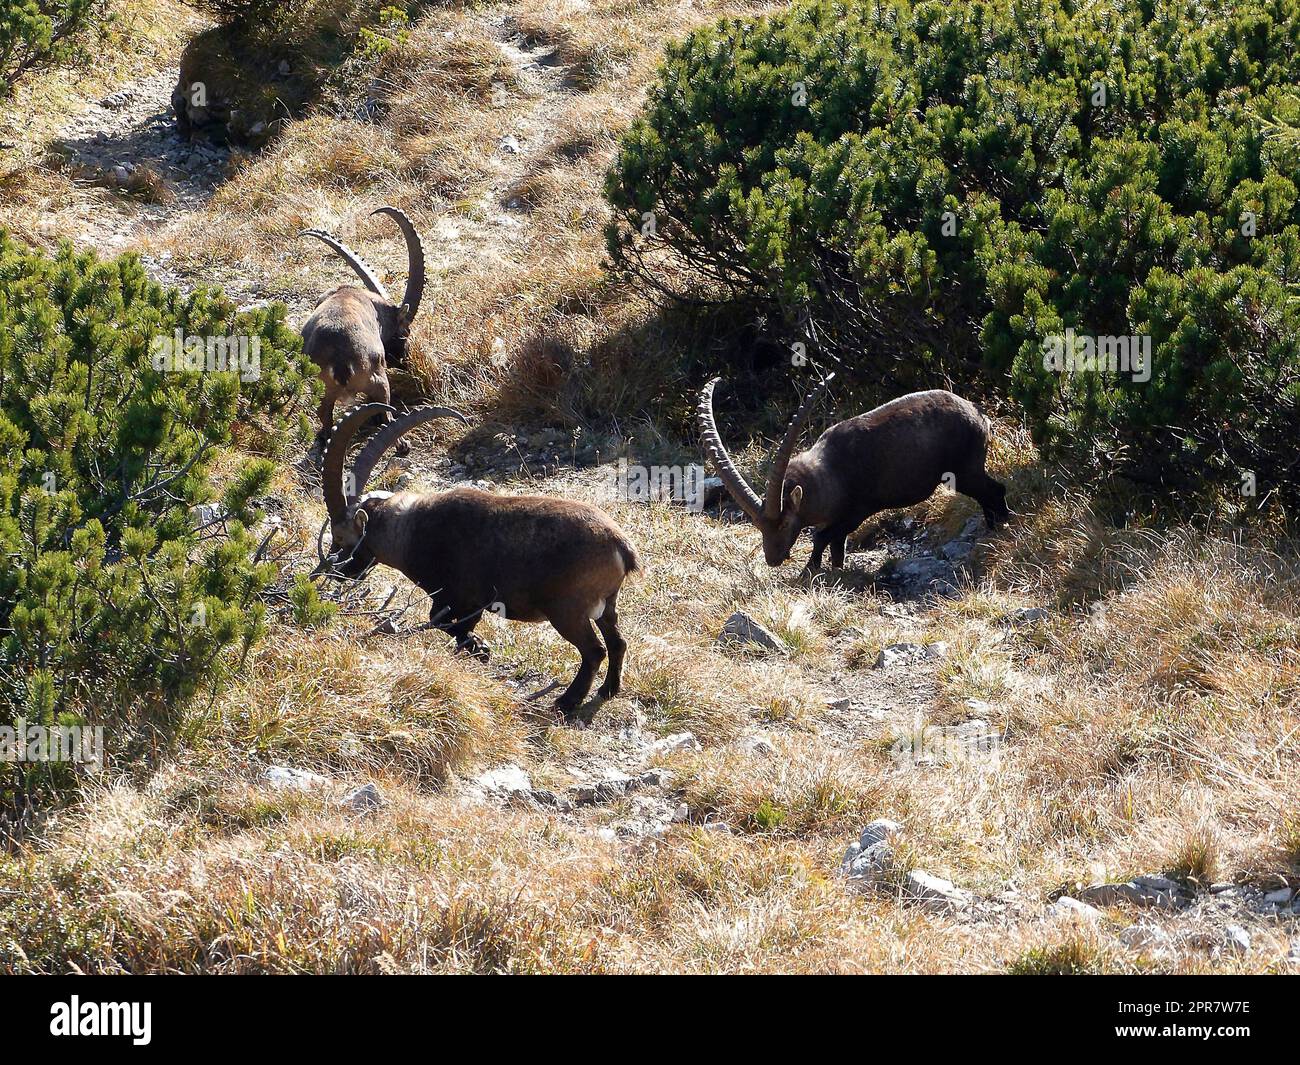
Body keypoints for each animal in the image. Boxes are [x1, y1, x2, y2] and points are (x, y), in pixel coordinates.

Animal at [300, 207, 427, 452]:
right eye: (404, 332)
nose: (406, 362)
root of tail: (340, 362)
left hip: (322, 390)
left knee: (324, 416)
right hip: (378, 380)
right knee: (386, 415)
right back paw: (402, 446)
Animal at [318, 404, 640, 722]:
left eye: (341, 537)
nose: (337, 572)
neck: (410, 532)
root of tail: (621, 546)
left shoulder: (459, 598)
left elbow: (445, 623)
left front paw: (481, 648)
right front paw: (479, 648)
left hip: (567, 610)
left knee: (594, 650)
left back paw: (566, 702)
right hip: (606, 606)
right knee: (617, 642)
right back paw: (608, 690)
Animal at [698, 375, 1009, 574]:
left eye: (785, 524)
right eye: (758, 526)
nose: (773, 559)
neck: (828, 475)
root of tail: (978, 414)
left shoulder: (858, 510)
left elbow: (822, 537)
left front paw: (808, 571)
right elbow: (836, 545)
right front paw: (834, 569)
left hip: (965, 470)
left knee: (996, 490)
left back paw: (1001, 527)